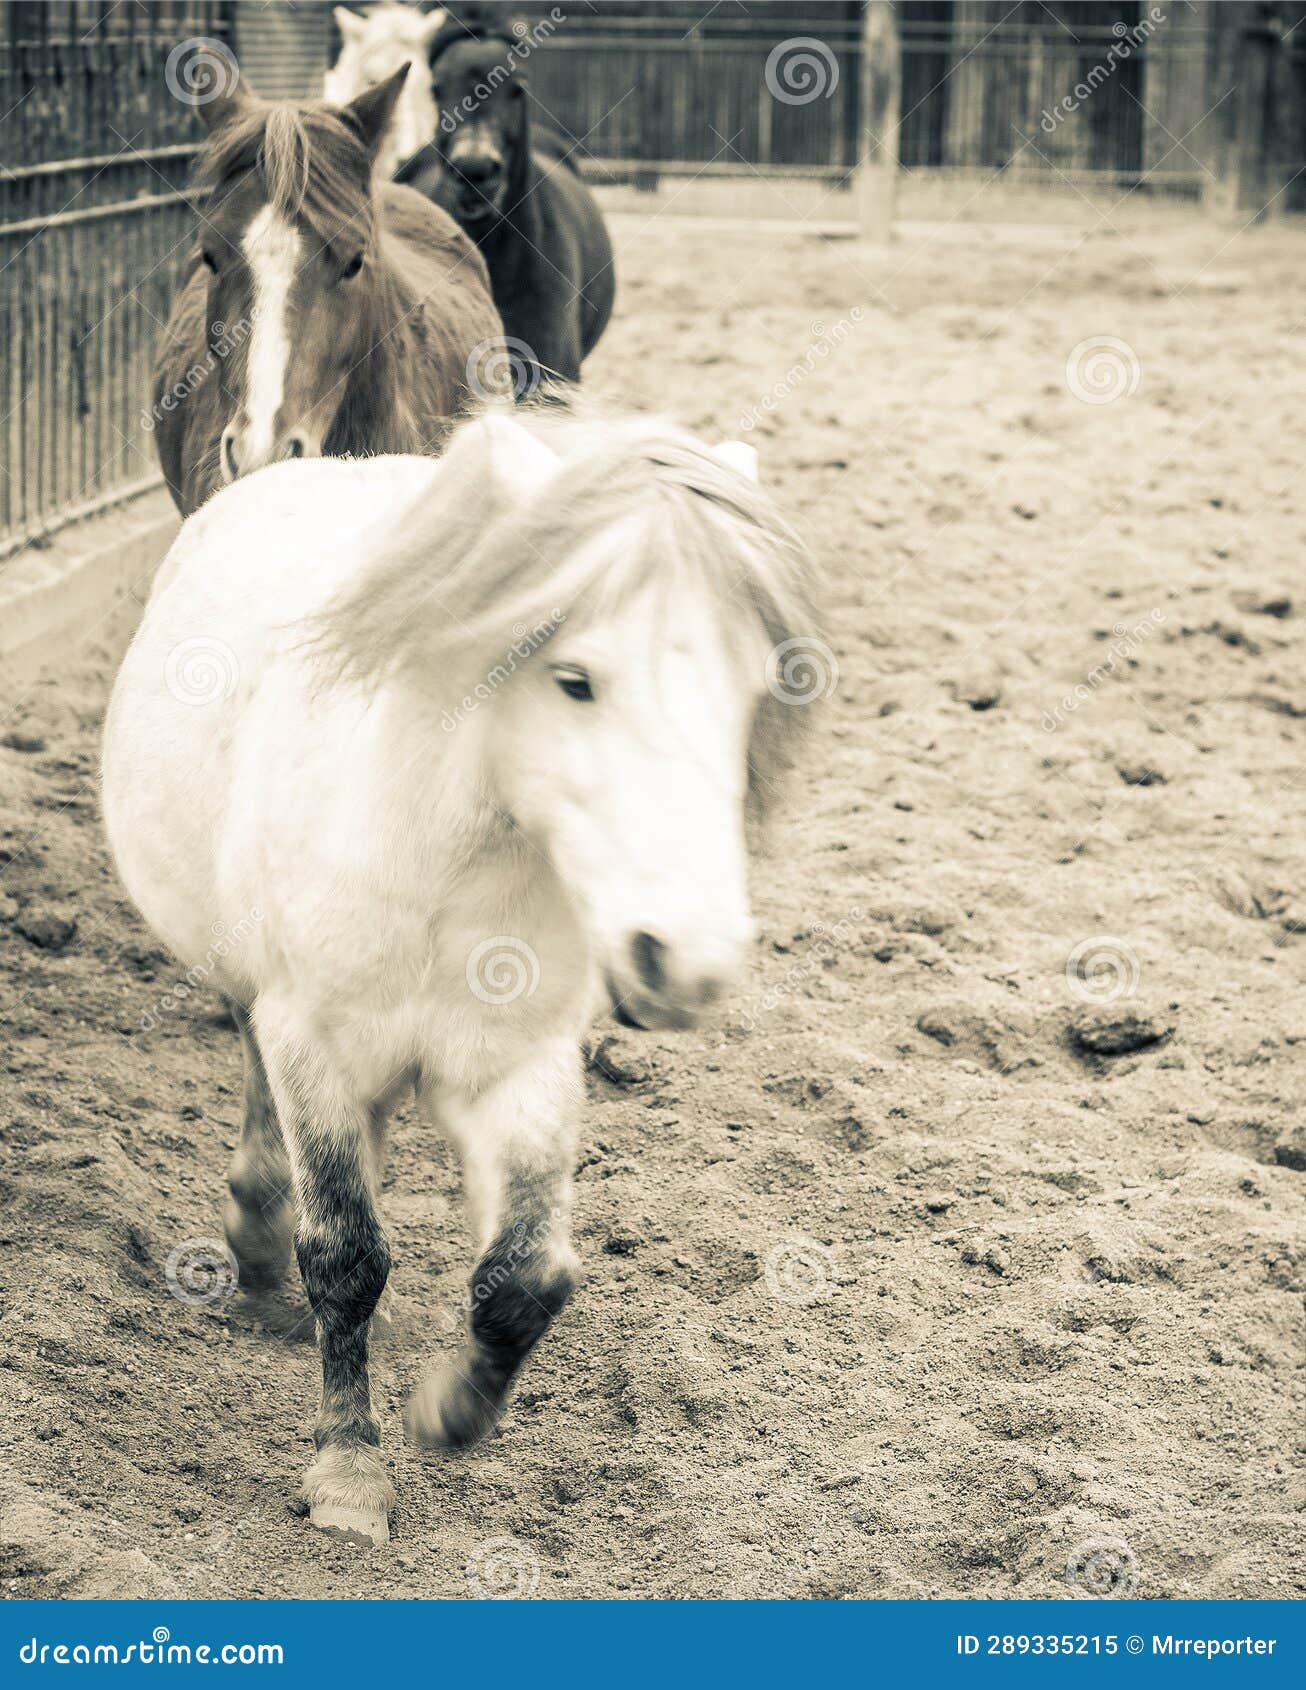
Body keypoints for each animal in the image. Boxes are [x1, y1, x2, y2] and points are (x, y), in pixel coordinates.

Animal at [101, 403, 815, 1546]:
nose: (690, 962)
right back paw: (257, 1240)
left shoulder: (517, 1068)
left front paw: (450, 1410)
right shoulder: (313, 1042)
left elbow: (529, 1274)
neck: (448, 867)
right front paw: (348, 1475)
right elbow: (346, 1254)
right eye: (575, 679)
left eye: (752, 692)